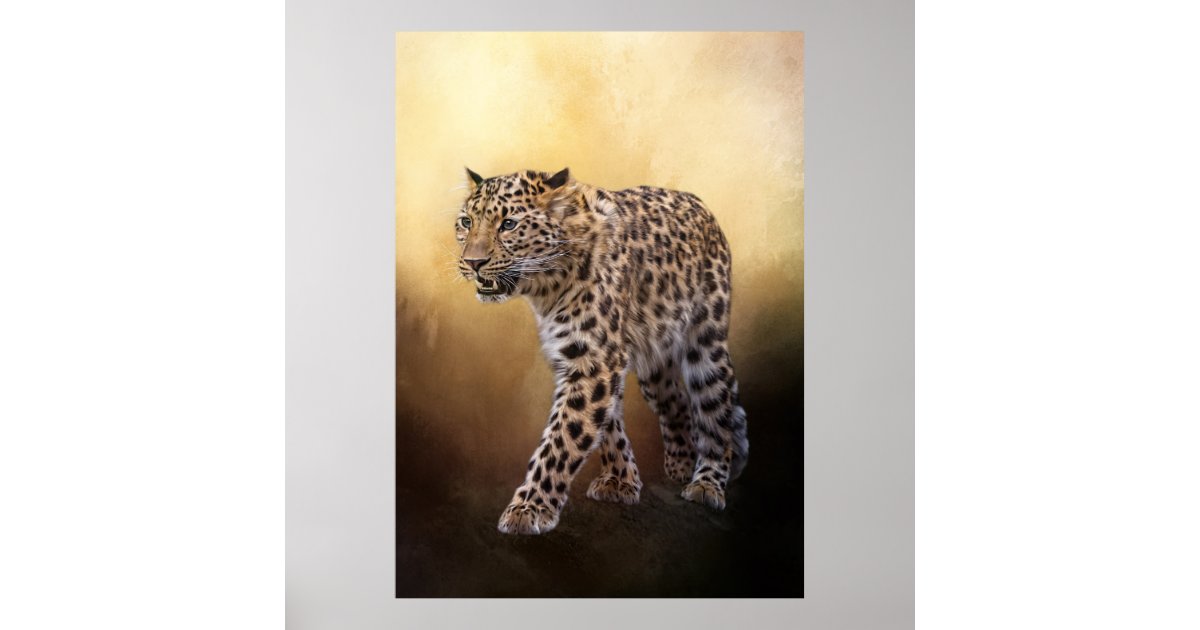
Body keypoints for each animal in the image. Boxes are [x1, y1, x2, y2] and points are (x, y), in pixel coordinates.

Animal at [455, 167, 749, 535]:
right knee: (678, 403)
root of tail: (700, 206)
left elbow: (562, 438)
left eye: (508, 224)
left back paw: (707, 483)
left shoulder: (595, 361)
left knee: (715, 406)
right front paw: (620, 481)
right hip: (654, 364)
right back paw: (680, 467)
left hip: (705, 341)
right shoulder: (583, 358)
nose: (473, 263)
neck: (545, 286)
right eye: (466, 222)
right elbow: (605, 425)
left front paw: (529, 508)